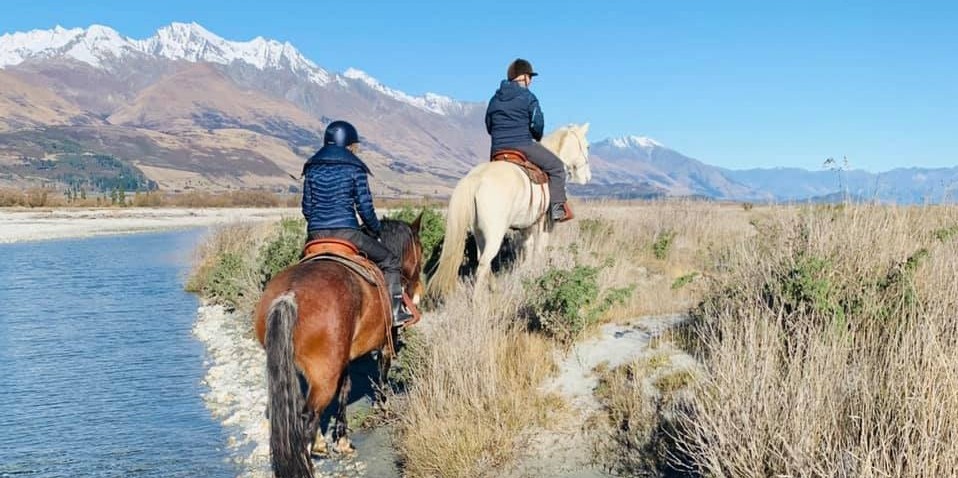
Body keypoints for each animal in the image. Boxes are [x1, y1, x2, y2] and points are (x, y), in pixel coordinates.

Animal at [253, 216, 425, 478]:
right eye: (421, 252)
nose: (418, 294)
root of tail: (288, 295)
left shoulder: (342, 360)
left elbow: (344, 390)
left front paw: (341, 439)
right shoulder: (387, 341)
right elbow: (382, 375)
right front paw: (382, 407)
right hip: (324, 375)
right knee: (307, 417)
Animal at [427, 123, 591, 299]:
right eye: (587, 145)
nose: (588, 177)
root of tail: (475, 179)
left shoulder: (527, 226)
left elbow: (527, 248)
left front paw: (525, 273)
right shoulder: (544, 225)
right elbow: (539, 250)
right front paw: (538, 274)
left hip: (478, 232)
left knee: (481, 258)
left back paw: (493, 288)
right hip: (495, 234)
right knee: (484, 262)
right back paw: (477, 300)